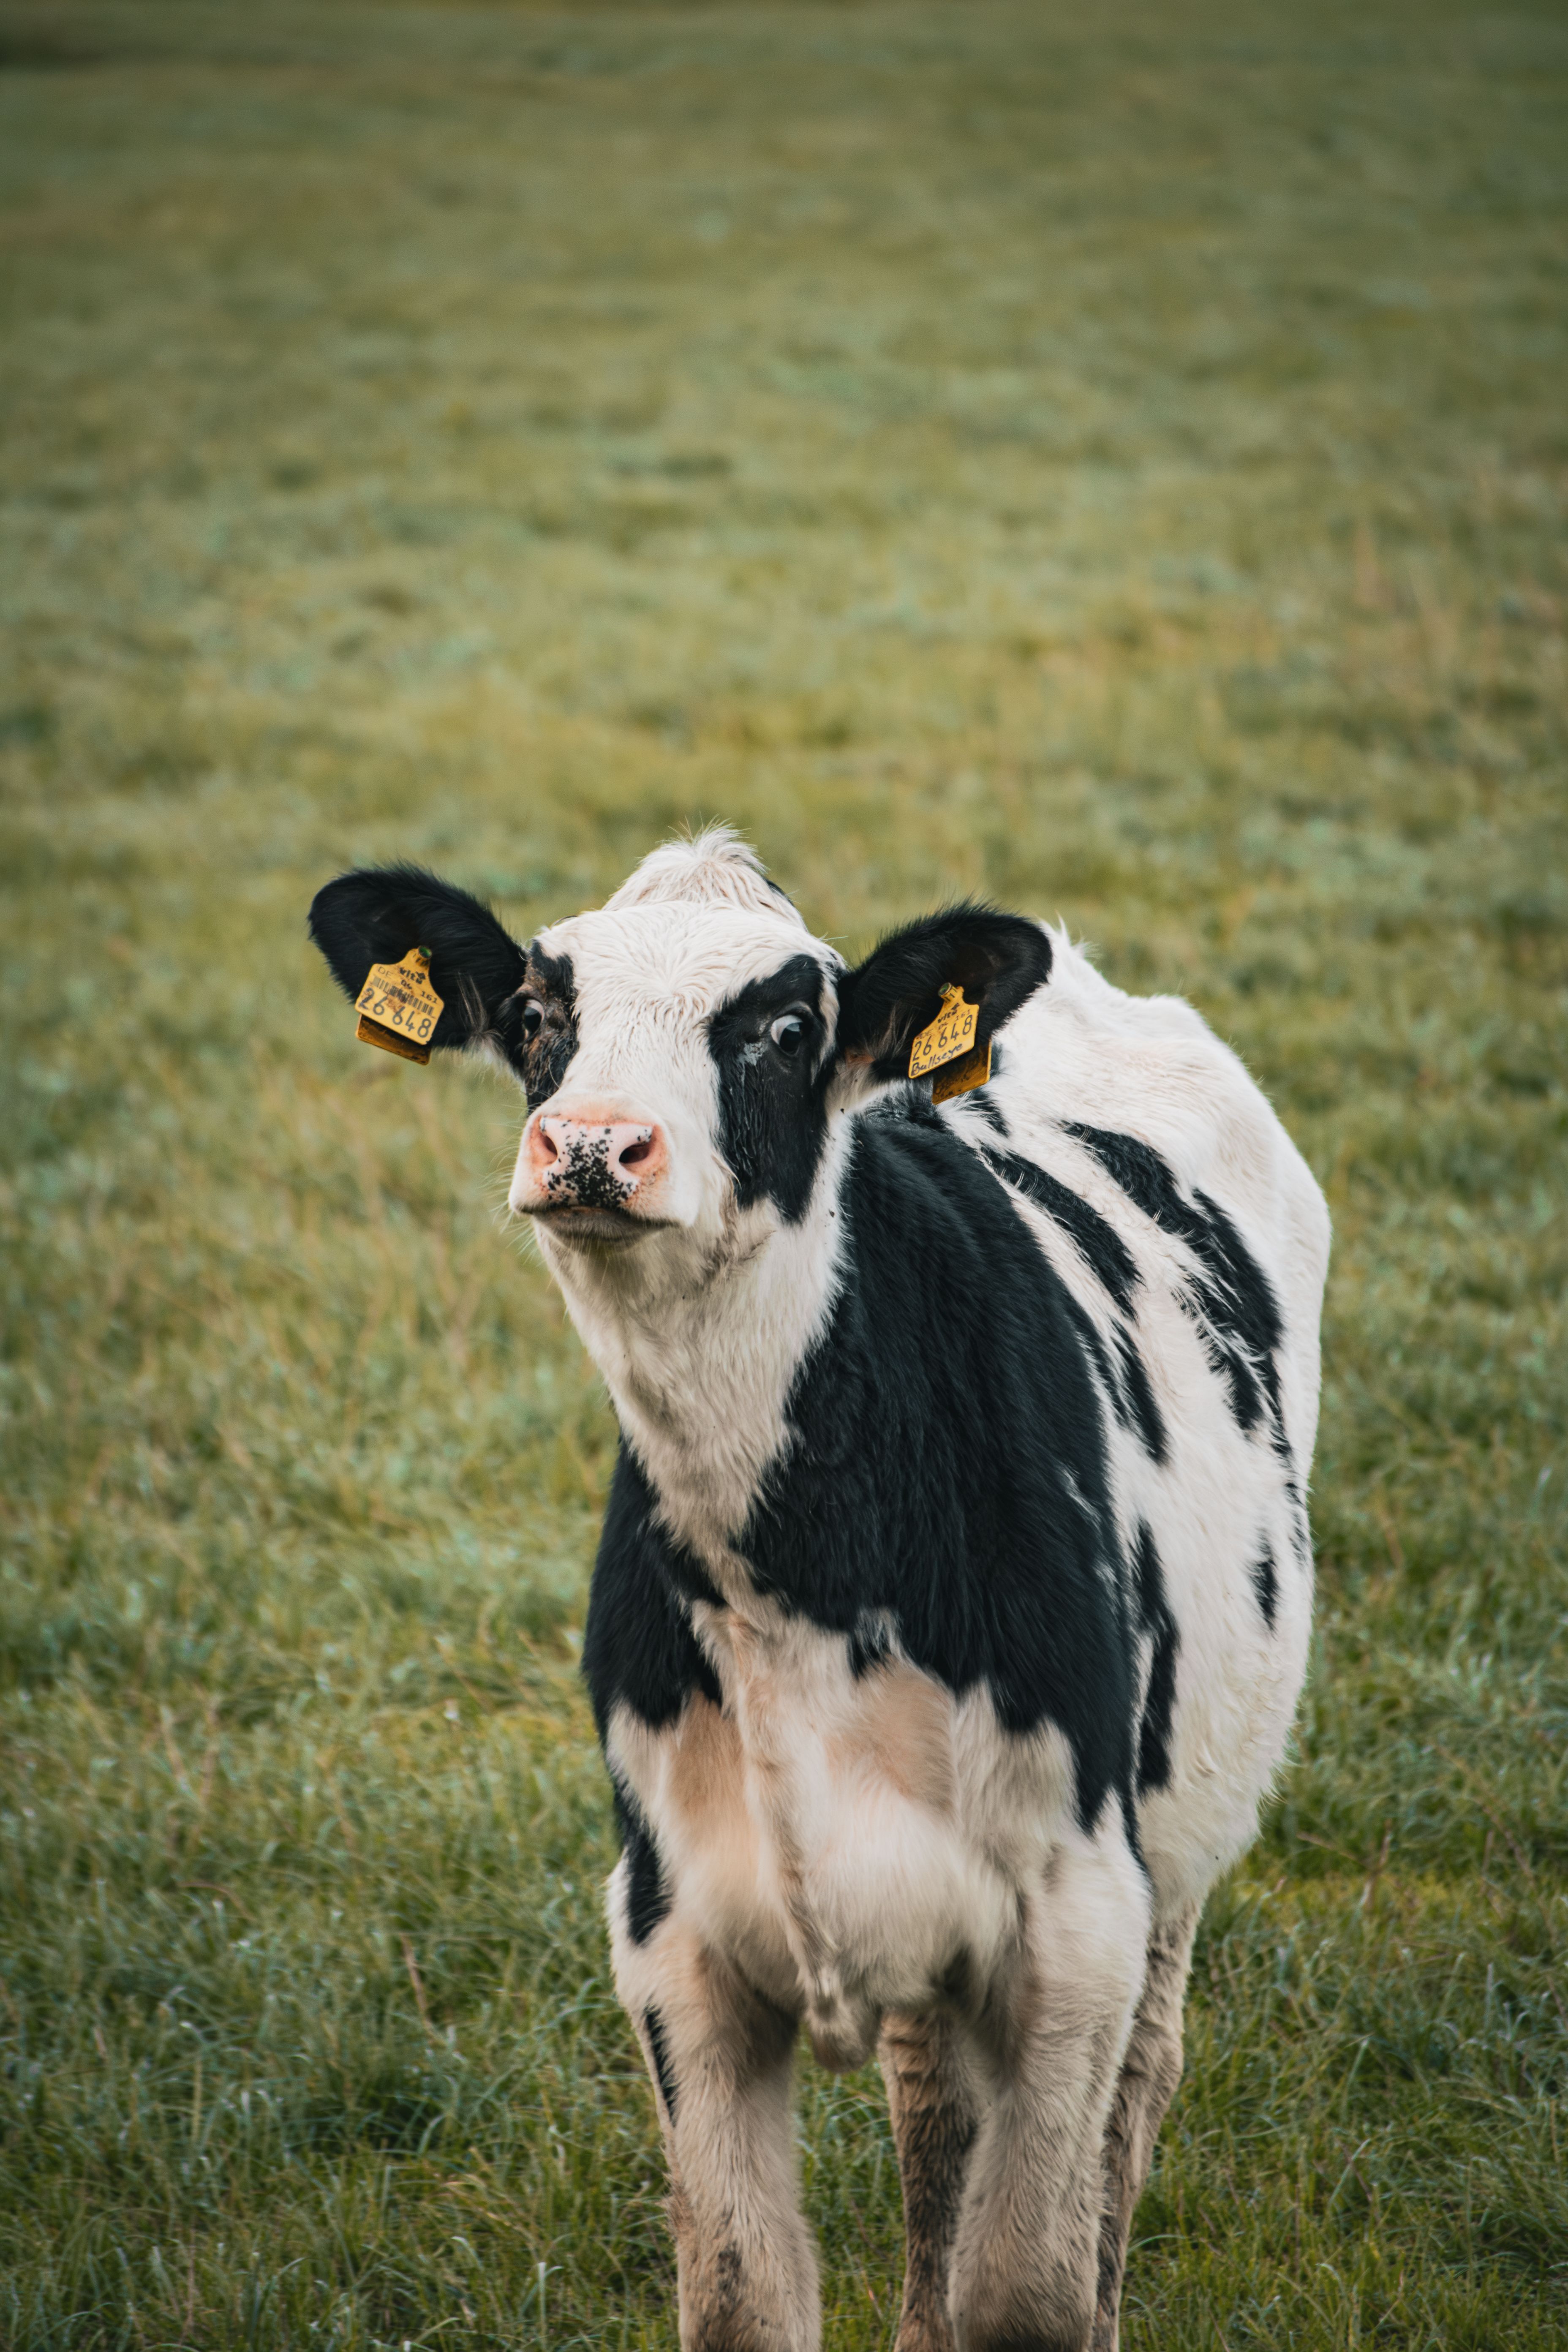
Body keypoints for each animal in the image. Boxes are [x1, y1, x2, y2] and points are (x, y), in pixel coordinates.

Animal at [308, 828, 1329, 2352]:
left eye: (786, 1028)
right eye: (540, 1015)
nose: (591, 1146)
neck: (800, 1578)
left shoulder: (1077, 1916)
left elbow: (1024, 2287)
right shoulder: (673, 1930)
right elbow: (744, 2292)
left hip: (1180, 1852)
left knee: (1133, 2098)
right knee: (933, 2105)